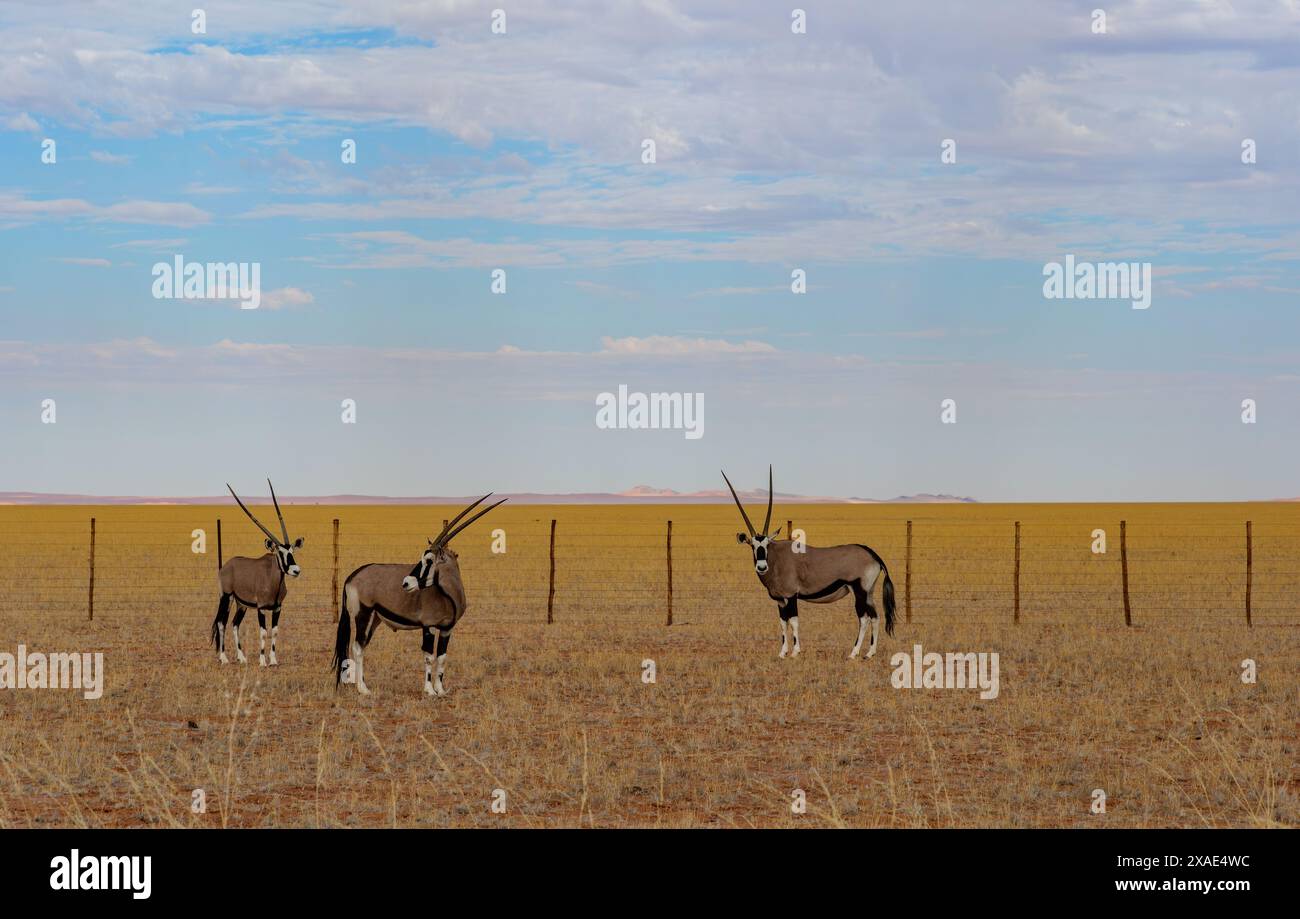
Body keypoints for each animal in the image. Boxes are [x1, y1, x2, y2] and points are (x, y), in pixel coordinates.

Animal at [210, 481, 304, 666]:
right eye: (280, 553)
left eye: (292, 551)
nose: (296, 570)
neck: (273, 580)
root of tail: (226, 566)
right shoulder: (261, 608)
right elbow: (263, 632)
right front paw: (262, 661)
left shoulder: (277, 607)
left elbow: (274, 631)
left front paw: (273, 660)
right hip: (226, 597)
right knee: (221, 623)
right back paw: (224, 658)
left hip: (241, 604)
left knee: (234, 624)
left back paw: (241, 657)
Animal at [331, 493, 506, 697]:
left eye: (429, 560)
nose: (406, 582)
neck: (448, 594)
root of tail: (352, 576)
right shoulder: (428, 626)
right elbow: (429, 656)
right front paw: (429, 690)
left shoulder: (447, 628)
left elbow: (442, 657)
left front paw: (441, 690)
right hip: (363, 614)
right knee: (358, 647)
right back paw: (363, 689)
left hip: (375, 619)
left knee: (363, 646)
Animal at [722, 467, 896, 660]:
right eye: (752, 545)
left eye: (766, 544)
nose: (761, 567)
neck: (776, 559)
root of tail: (872, 554)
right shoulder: (780, 600)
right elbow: (783, 623)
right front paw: (782, 652)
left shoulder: (791, 596)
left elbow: (794, 621)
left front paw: (795, 652)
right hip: (869, 592)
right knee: (875, 617)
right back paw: (870, 653)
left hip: (859, 591)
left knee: (864, 618)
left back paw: (853, 653)